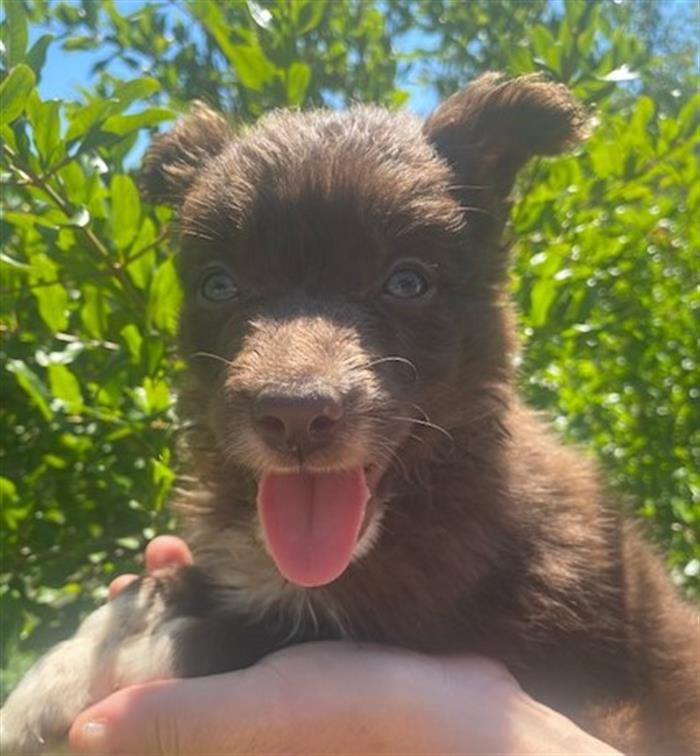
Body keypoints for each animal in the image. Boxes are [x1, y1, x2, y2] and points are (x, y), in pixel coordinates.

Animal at [2, 72, 696, 756]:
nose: (294, 417)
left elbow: (248, 632)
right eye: (219, 285)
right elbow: (161, 585)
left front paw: (99, 673)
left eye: (407, 283)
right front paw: (65, 666)